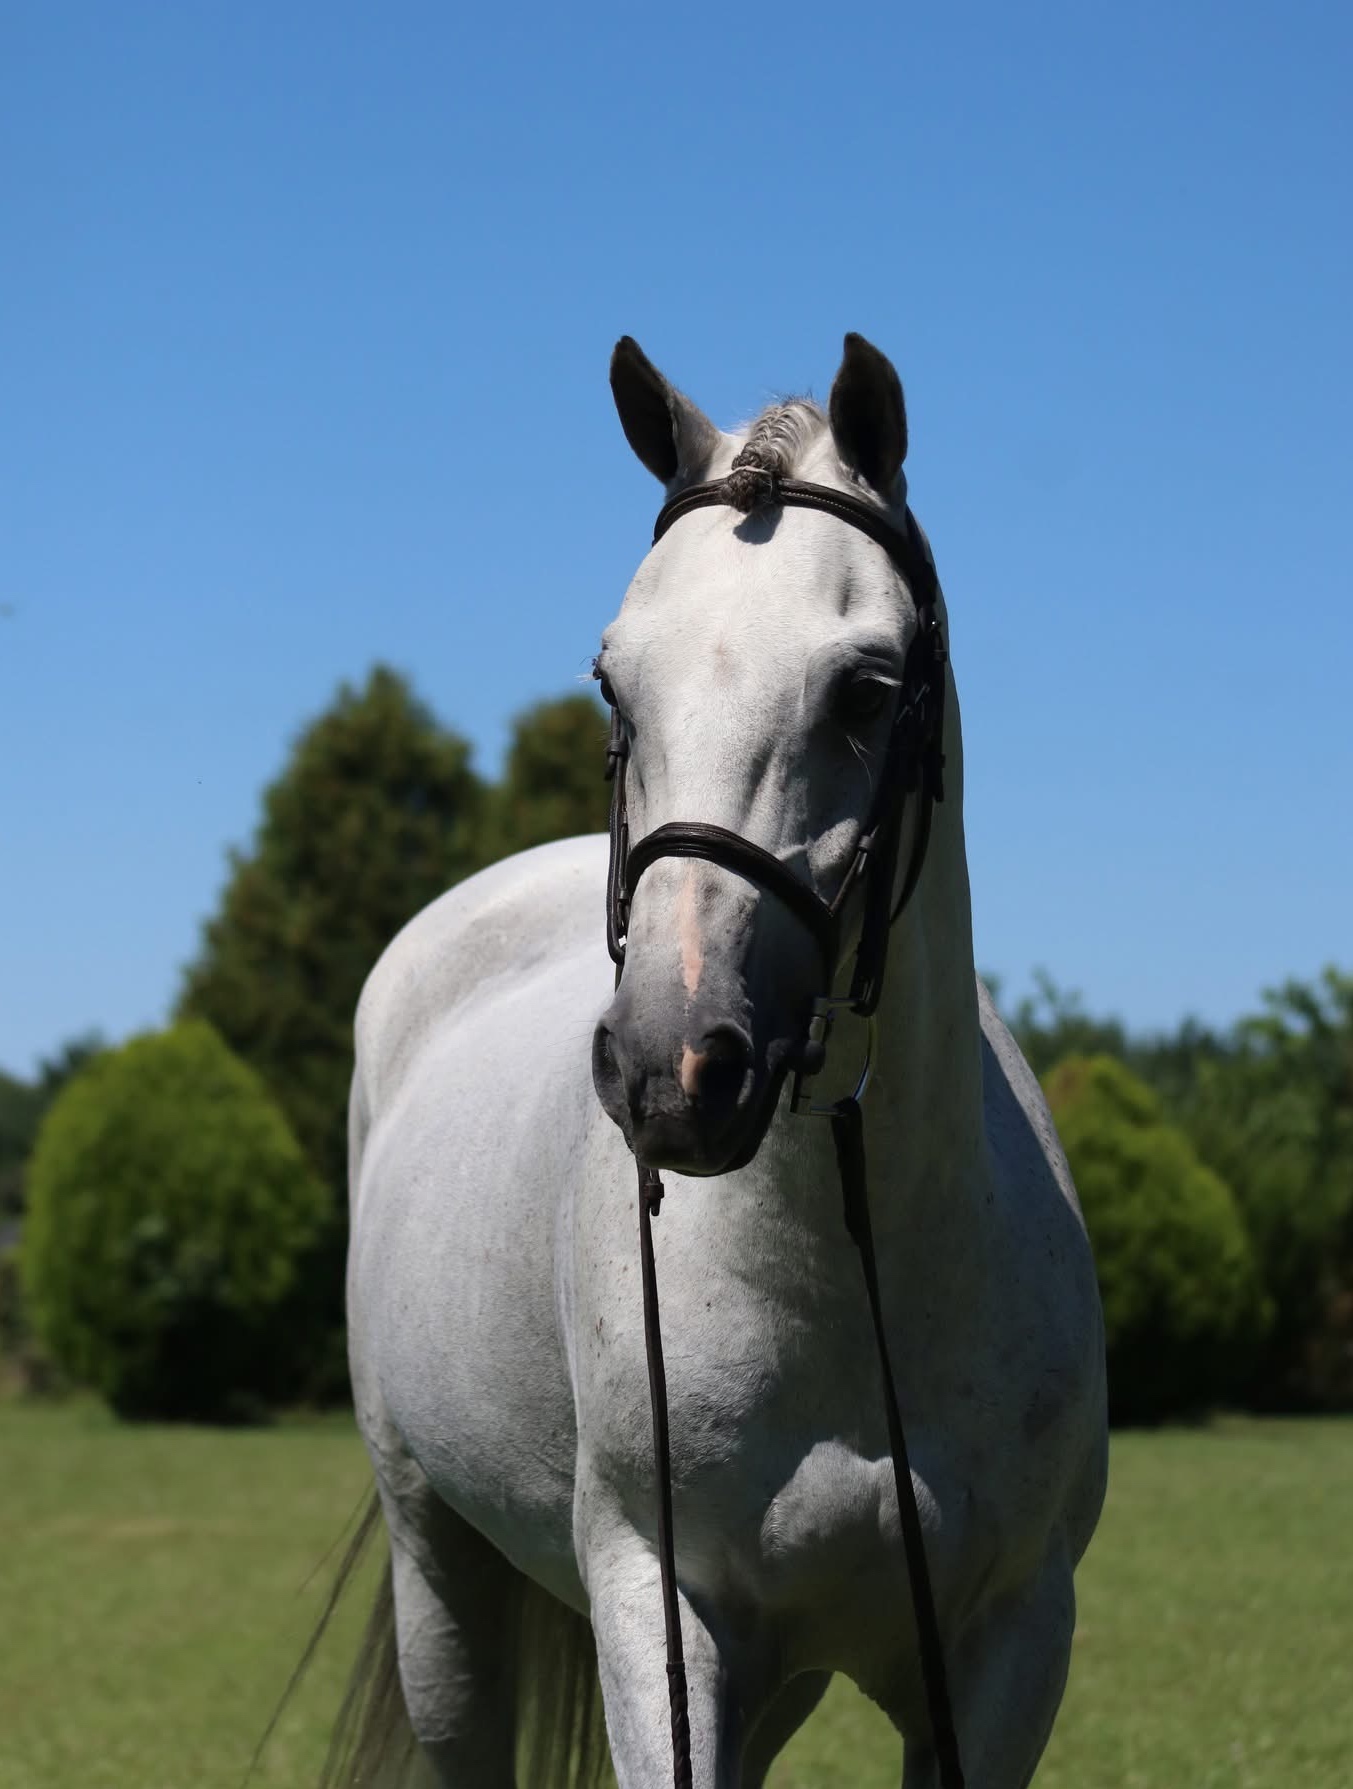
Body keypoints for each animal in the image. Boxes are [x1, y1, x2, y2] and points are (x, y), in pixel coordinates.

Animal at [335, 332, 1108, 1788]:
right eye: (613, 681)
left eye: (865, 691)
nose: (671, 1069)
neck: (845, 1261)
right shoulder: (664, 1616)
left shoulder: (1006, 1650)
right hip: (440, 1573)